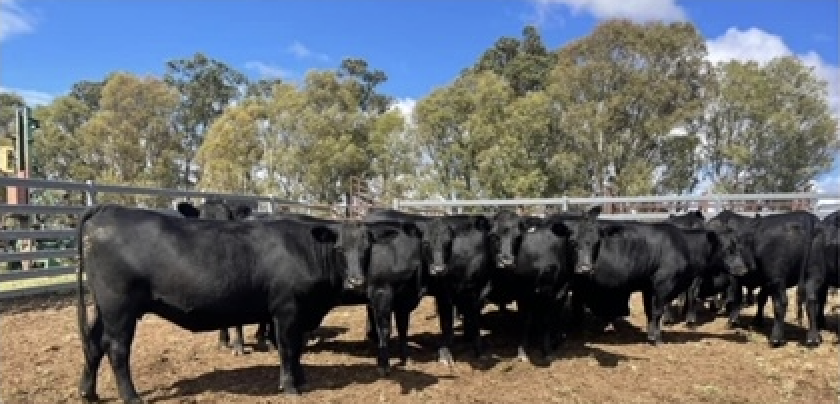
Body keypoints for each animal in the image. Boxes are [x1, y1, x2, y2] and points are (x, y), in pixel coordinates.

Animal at [76, 204, 372, 402]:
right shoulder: (287, 311)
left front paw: (302, 380)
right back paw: (131, 397)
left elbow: (296, 350)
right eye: (339, 249)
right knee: (116, 349)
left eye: (367, 248)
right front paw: (290, 387)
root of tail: (107, 209)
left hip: (104, 308)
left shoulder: (297, 315)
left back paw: (88, 392)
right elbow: (288, 349)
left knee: (93, 344)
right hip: (119, 308)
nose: (356, 282)